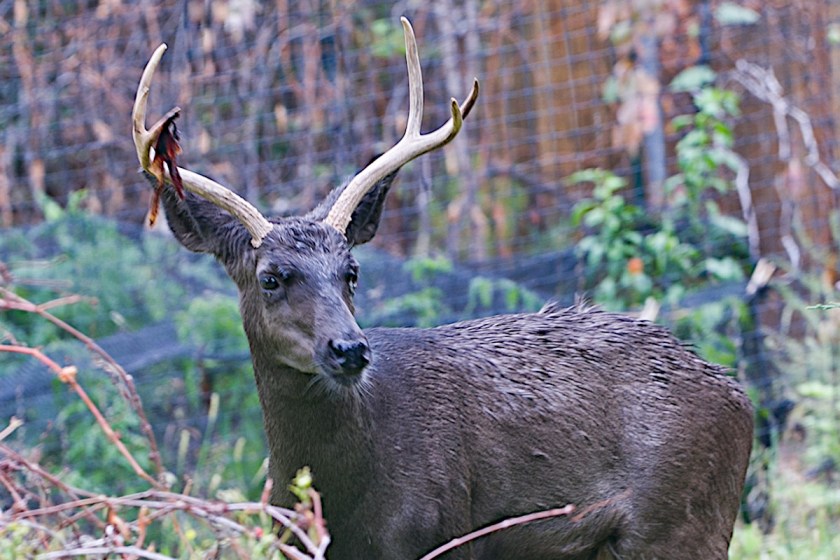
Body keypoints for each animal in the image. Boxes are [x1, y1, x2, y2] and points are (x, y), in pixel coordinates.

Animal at [131, 18, 753, 560]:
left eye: (351, 271)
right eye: (270, 277)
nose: (349, 349)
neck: (337, 495)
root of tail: (739, 396)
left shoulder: (438, 534)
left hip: (681, 522)